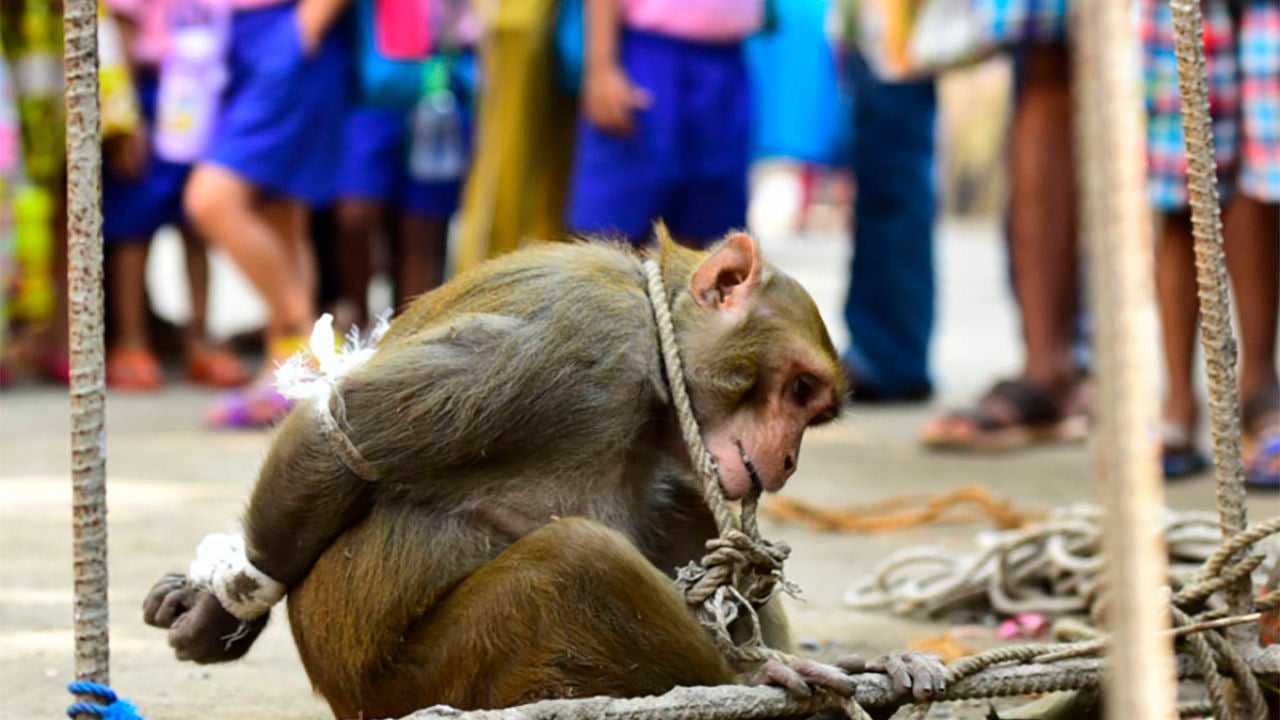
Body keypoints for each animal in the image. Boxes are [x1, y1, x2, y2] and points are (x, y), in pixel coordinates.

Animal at [143, 230, 945, 718]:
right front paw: (222, 608)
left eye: (815, 411)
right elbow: (336, 433)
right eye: (800, 389)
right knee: (575, 559)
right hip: (433, 683)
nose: (787, 458)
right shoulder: (577, 339)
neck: (654, 367)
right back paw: (751, 680)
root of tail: (348, 702)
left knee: (673, 503)